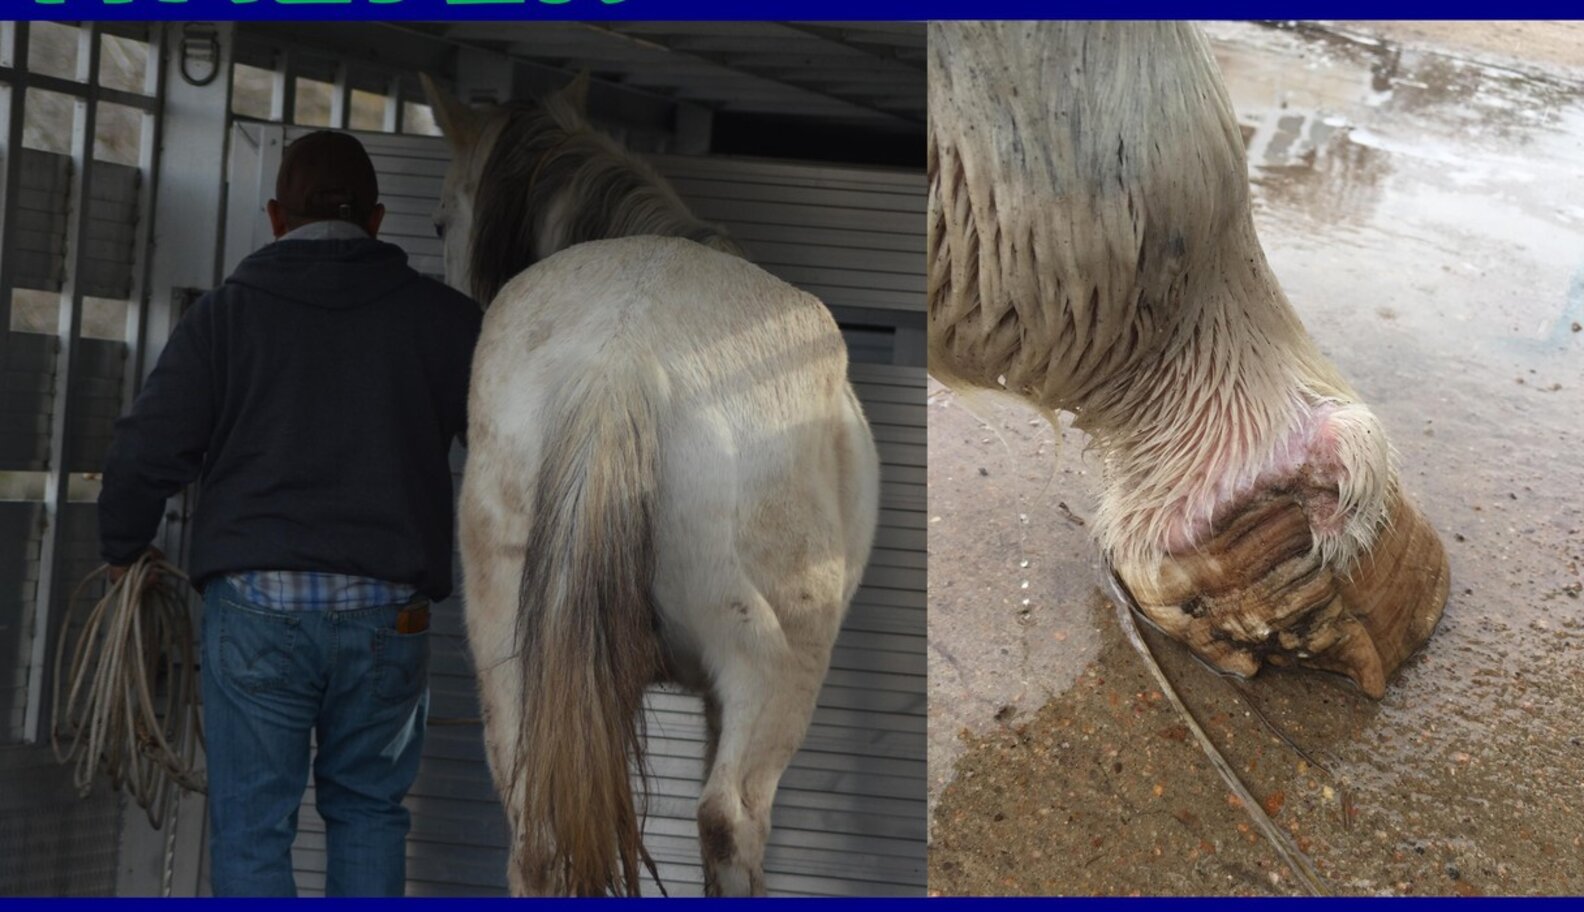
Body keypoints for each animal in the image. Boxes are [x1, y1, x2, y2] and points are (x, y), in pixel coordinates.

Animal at [418, 73, 880, 897]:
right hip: (773, 671)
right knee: (730, 821)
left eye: (442, 218)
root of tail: (620, 357)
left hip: (513, 665)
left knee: (534, 841)